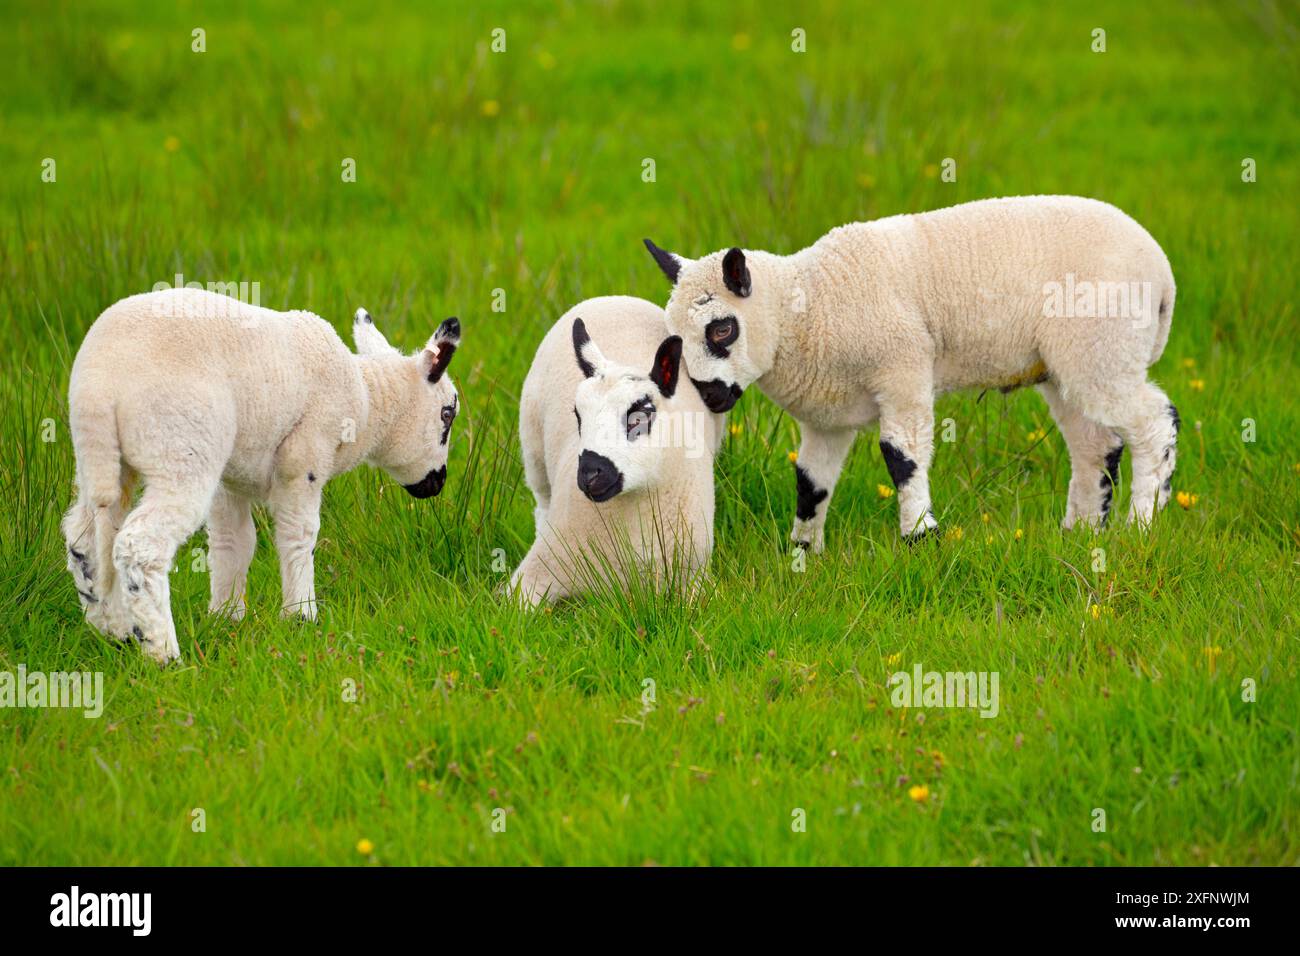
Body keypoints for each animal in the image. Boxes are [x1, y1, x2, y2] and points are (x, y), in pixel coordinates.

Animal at [61, 287, 463, 663]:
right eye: (447, 414)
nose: (438, 483)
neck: (366, 402)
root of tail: (99, 388)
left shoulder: (230, 477)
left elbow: (233, 543)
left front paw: (226, 616)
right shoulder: (304, 457)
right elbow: (299, 535)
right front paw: (301, 616)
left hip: (101, 457)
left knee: (85, 537)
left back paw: (111, 630)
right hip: (181, 447)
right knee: (141, 544)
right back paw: (162, 652)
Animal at [509, 296, 724, 604]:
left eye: (639, 416)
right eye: (578, 415)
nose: (589, 474)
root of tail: (611, 298)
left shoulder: (696, 579)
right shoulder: (535, 574)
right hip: (535, 452)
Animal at [644, 195, 1179, 550]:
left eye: (721, 329)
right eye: (672, 338)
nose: (708, 396)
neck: (808, 306)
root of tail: (1163, 276)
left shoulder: (902, 369)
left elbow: (901, 456)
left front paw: (920, 535)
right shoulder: (826, 417)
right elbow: (811, 481)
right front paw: (802, 554)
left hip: (1102, 347)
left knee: (1155, 422)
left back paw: (1142, 524)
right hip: (1070, 363)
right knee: (1096, 446)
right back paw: (1081, 531)